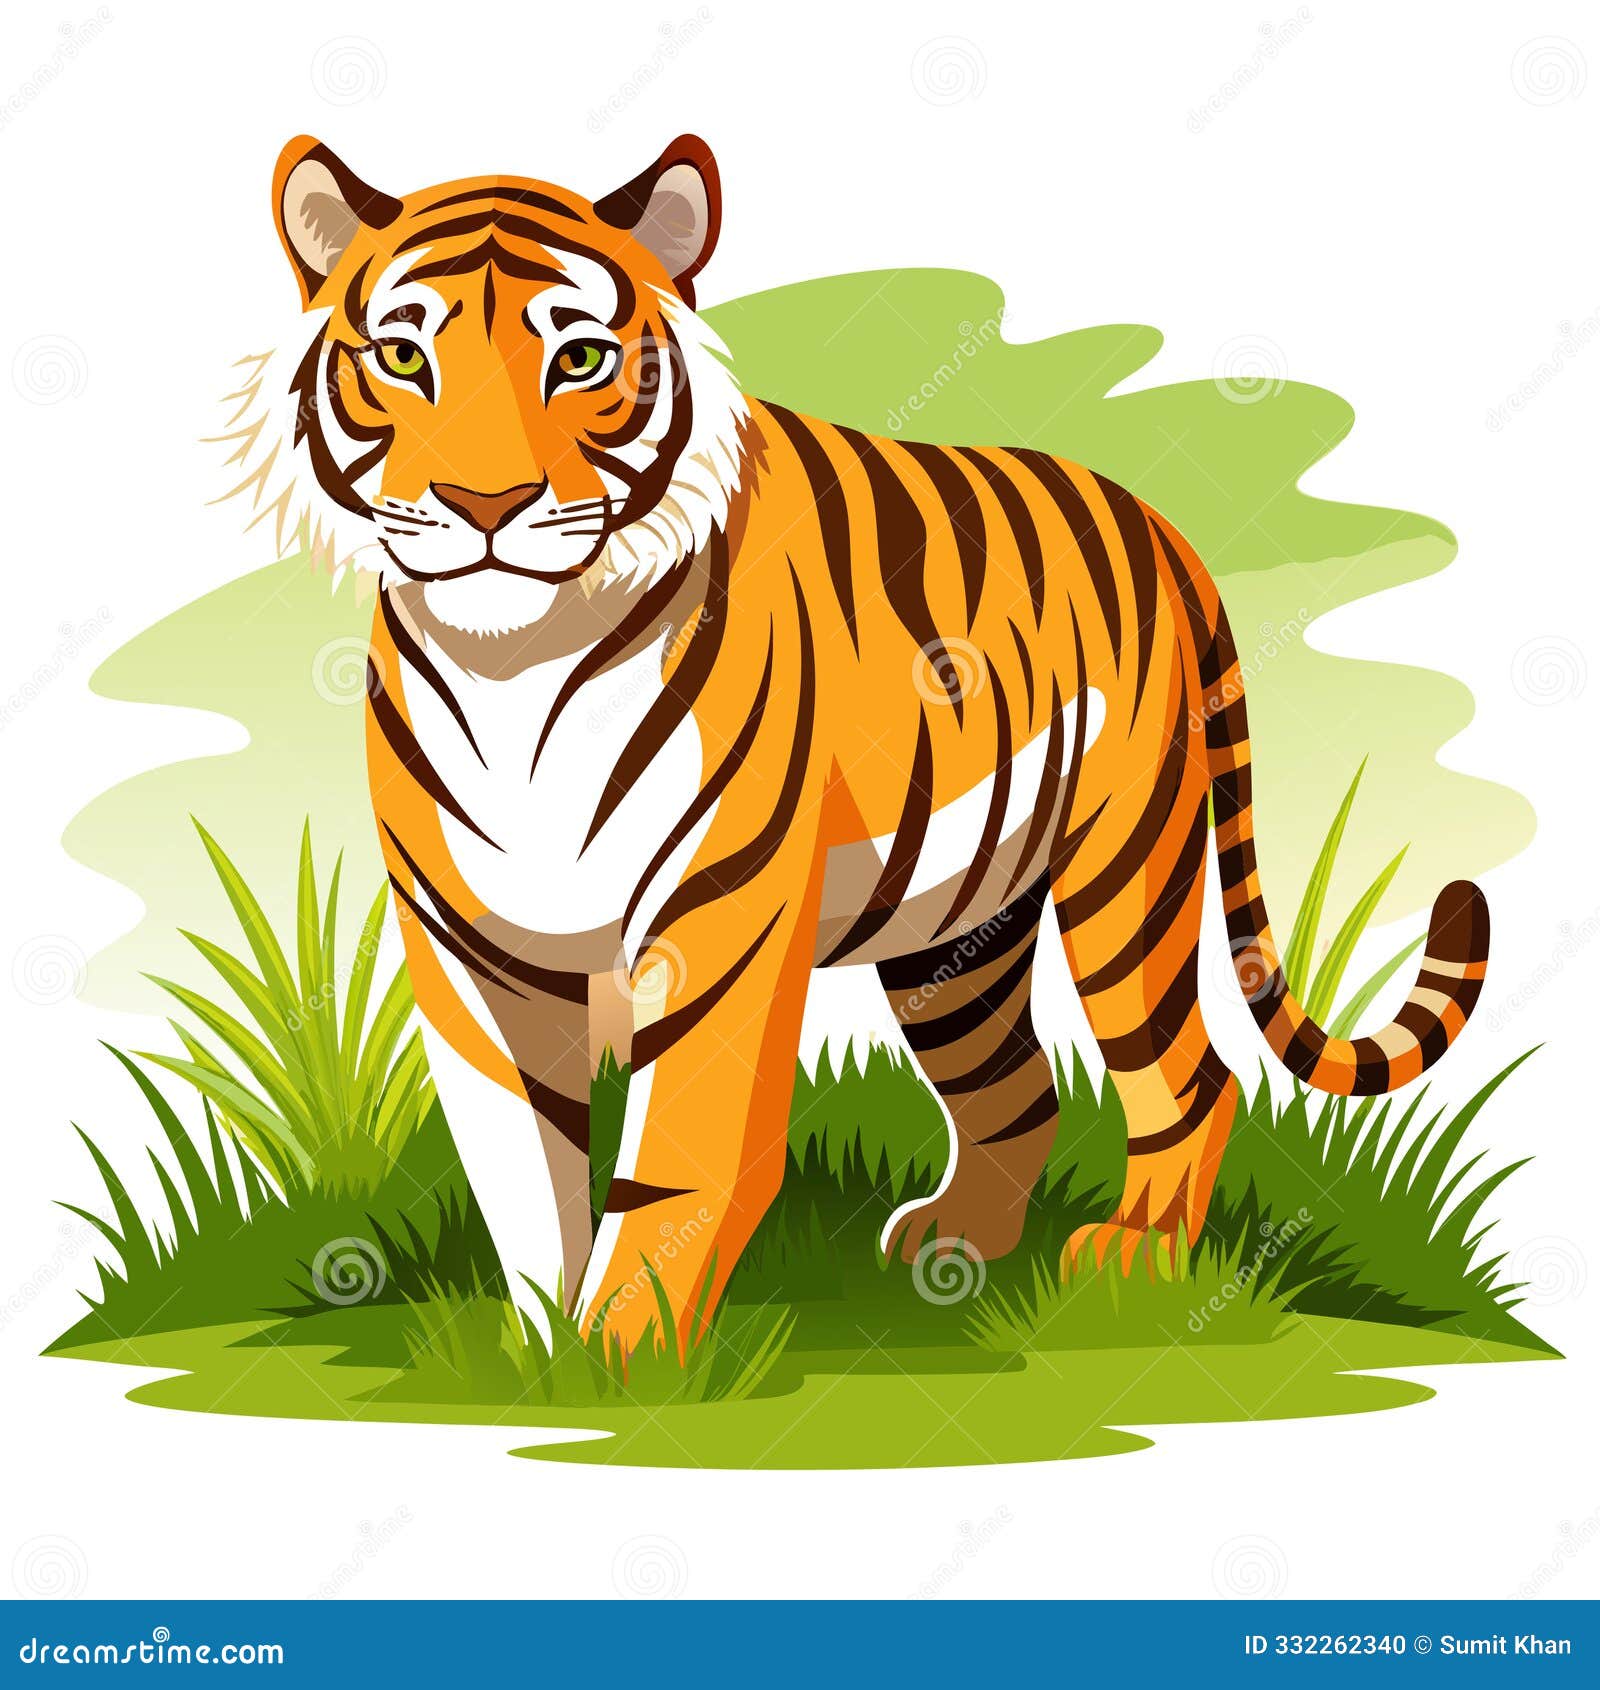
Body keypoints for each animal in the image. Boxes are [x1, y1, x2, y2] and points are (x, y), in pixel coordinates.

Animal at [240, 133, 1490, 1358]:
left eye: (582, 359)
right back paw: (956, 1248)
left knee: (1192, 1074)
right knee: (1018, 1088)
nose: (486, 501)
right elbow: (522, 1176)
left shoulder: (718, 922)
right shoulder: (469, 945)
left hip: (1123, 877)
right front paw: (540, 1354)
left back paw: (1134, 1257)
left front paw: (616, 1359)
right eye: (403, 358)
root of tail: (1163, 529)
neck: (519, 661)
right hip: (960, 940)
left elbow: (677, 1169)